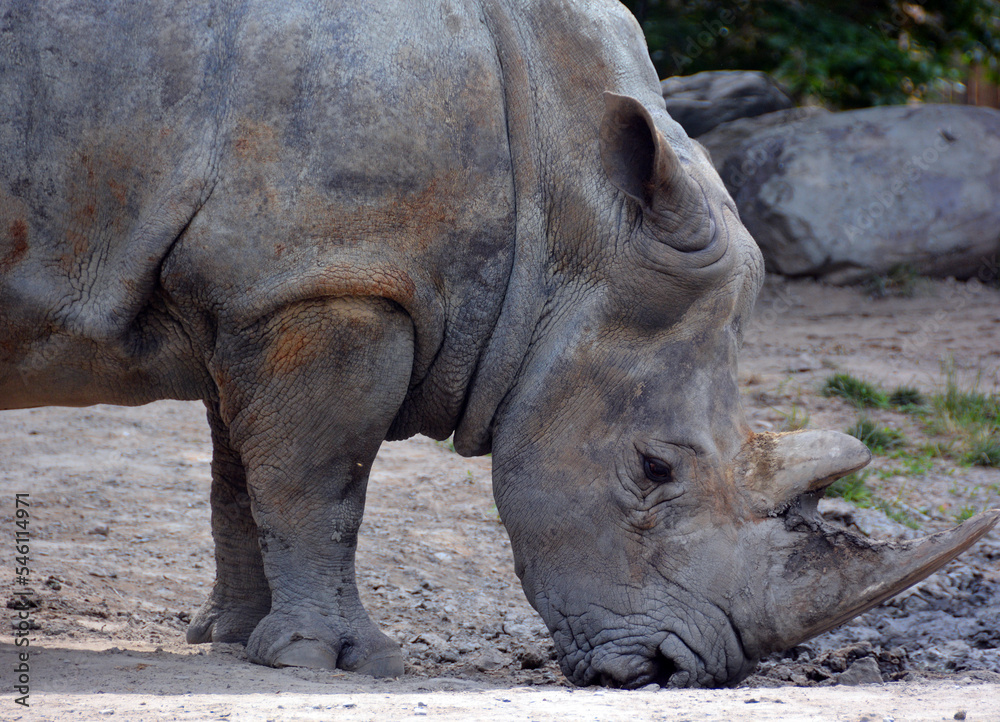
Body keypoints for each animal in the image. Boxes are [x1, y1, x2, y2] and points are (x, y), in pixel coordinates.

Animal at [1, 0, 997, 689]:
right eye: (653, 471)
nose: (680, 671)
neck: (569, 206)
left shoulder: (264, 285)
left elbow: (242, 481)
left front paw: (236, 639)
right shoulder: (340, 281)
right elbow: (321, 483)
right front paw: (333, 661)